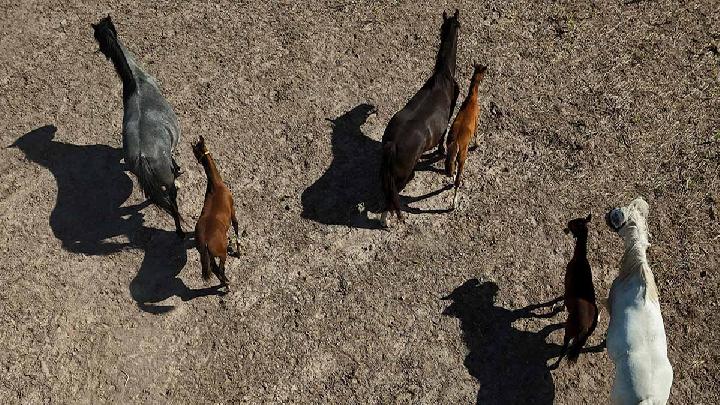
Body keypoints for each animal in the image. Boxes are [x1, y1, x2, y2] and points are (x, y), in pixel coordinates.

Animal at [92, 16, 185, 237]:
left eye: (100, 38)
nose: (103, 52)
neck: (137, 83)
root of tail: (143, 156)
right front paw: (178, 169)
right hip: (167, 184)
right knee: (172, 201)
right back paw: (179, 231)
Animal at [192, 136, 240, 287]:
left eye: (197, 148)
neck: (215, 186)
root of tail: (206, 242)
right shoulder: (233, 210)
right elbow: (236, 227)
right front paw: (239, 252)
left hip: (209, 256)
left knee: (214, 269)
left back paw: (225, 283)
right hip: (221, 254)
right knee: (220, 269)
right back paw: (227, 285)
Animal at [380, 10, 460, 226]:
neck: (442, 76)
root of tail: (393, 145)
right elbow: (443, 136)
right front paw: (440, 151)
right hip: (403, 176)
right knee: (393, 196)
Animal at [444, 63, 487, 209]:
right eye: (483, 72)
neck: (471, 99)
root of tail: (456, 143)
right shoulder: (477, 121)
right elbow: (476, 134)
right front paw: (478, 144)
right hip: (462, 157)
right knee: (458, 179)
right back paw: (453, 203)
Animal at [550, 214, 599, 369]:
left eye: (576, 223)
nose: (568, 223)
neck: (580, 259)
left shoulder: (567, 285)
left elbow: (563, 299)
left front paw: (558, 308)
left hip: (569, 332)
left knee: (565, 347)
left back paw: (555, 365)